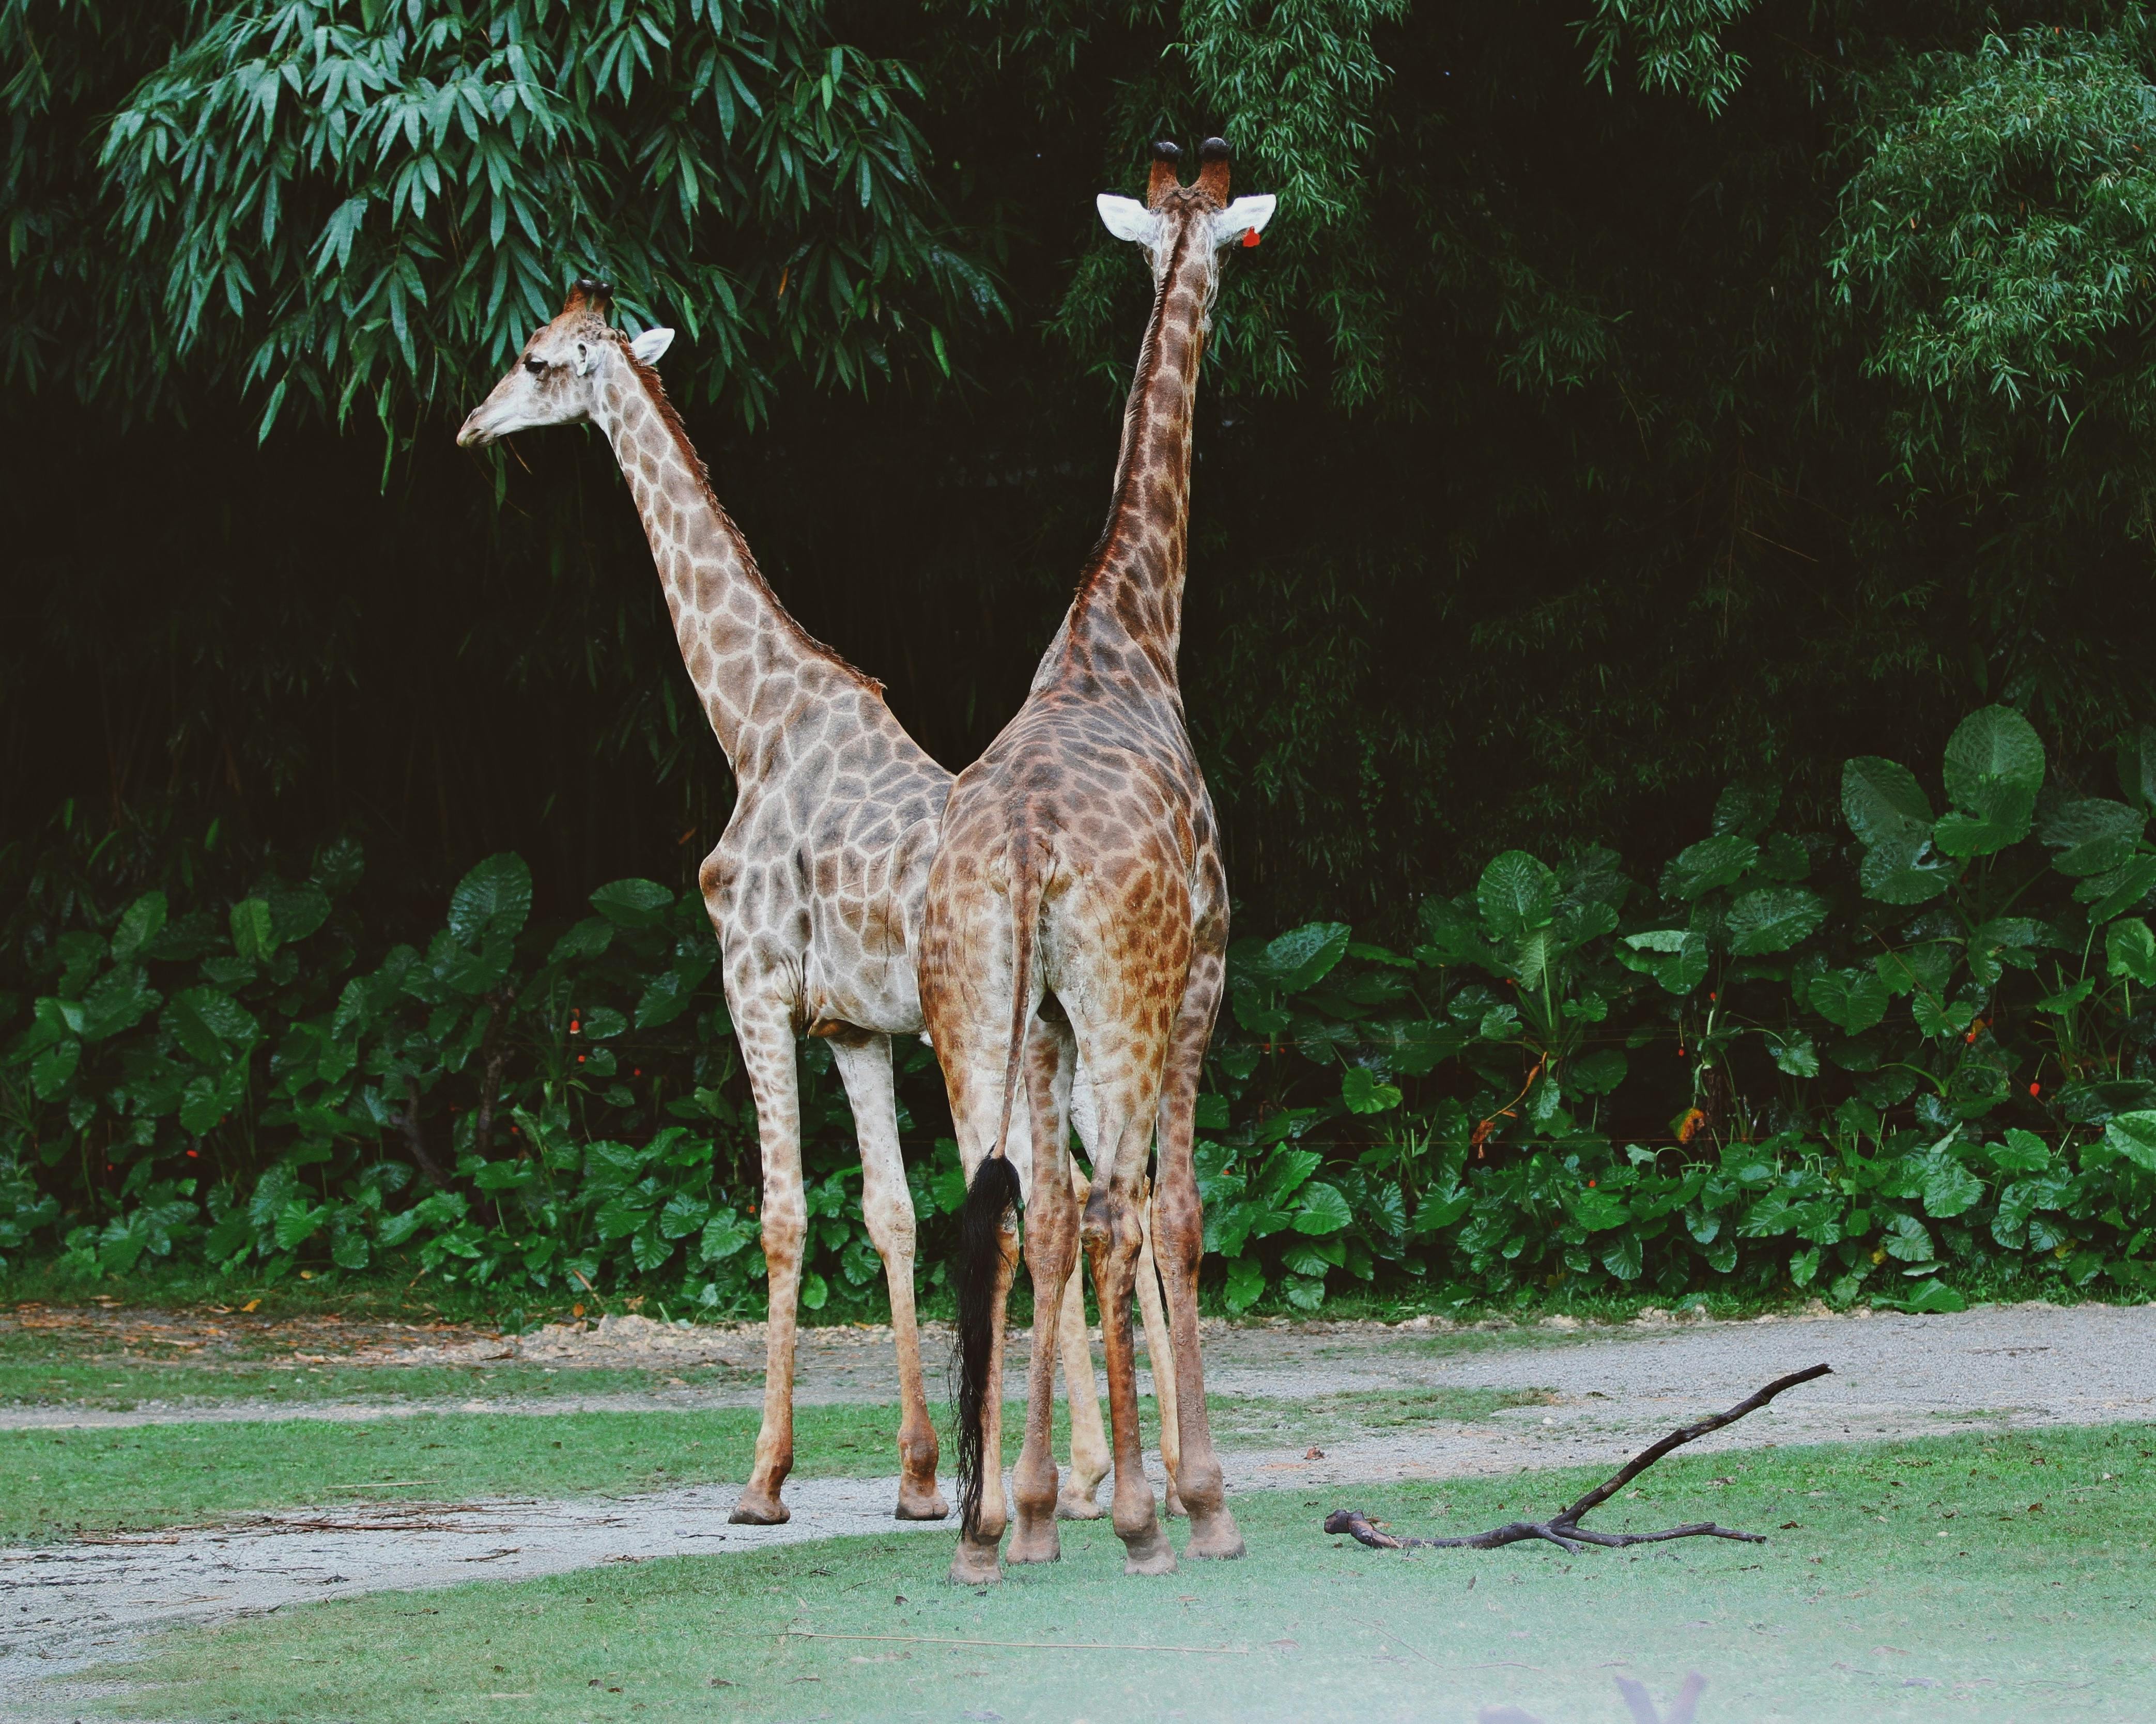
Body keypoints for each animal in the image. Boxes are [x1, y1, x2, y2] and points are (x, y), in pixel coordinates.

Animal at [453, 280, 1171, 1528]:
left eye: (535, 359)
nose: (470, 425)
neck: (752, 725)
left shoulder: (753, 981)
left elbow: (784, 1215)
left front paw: (764, 1478)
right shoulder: (851, 1027)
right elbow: (890, 1213)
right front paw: (919, 1476)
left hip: (998, 1033)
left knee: (1060, 1196)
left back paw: (1083, 1474)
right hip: (1074, 1033)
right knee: (1105, 1190)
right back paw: (1133, 1471)